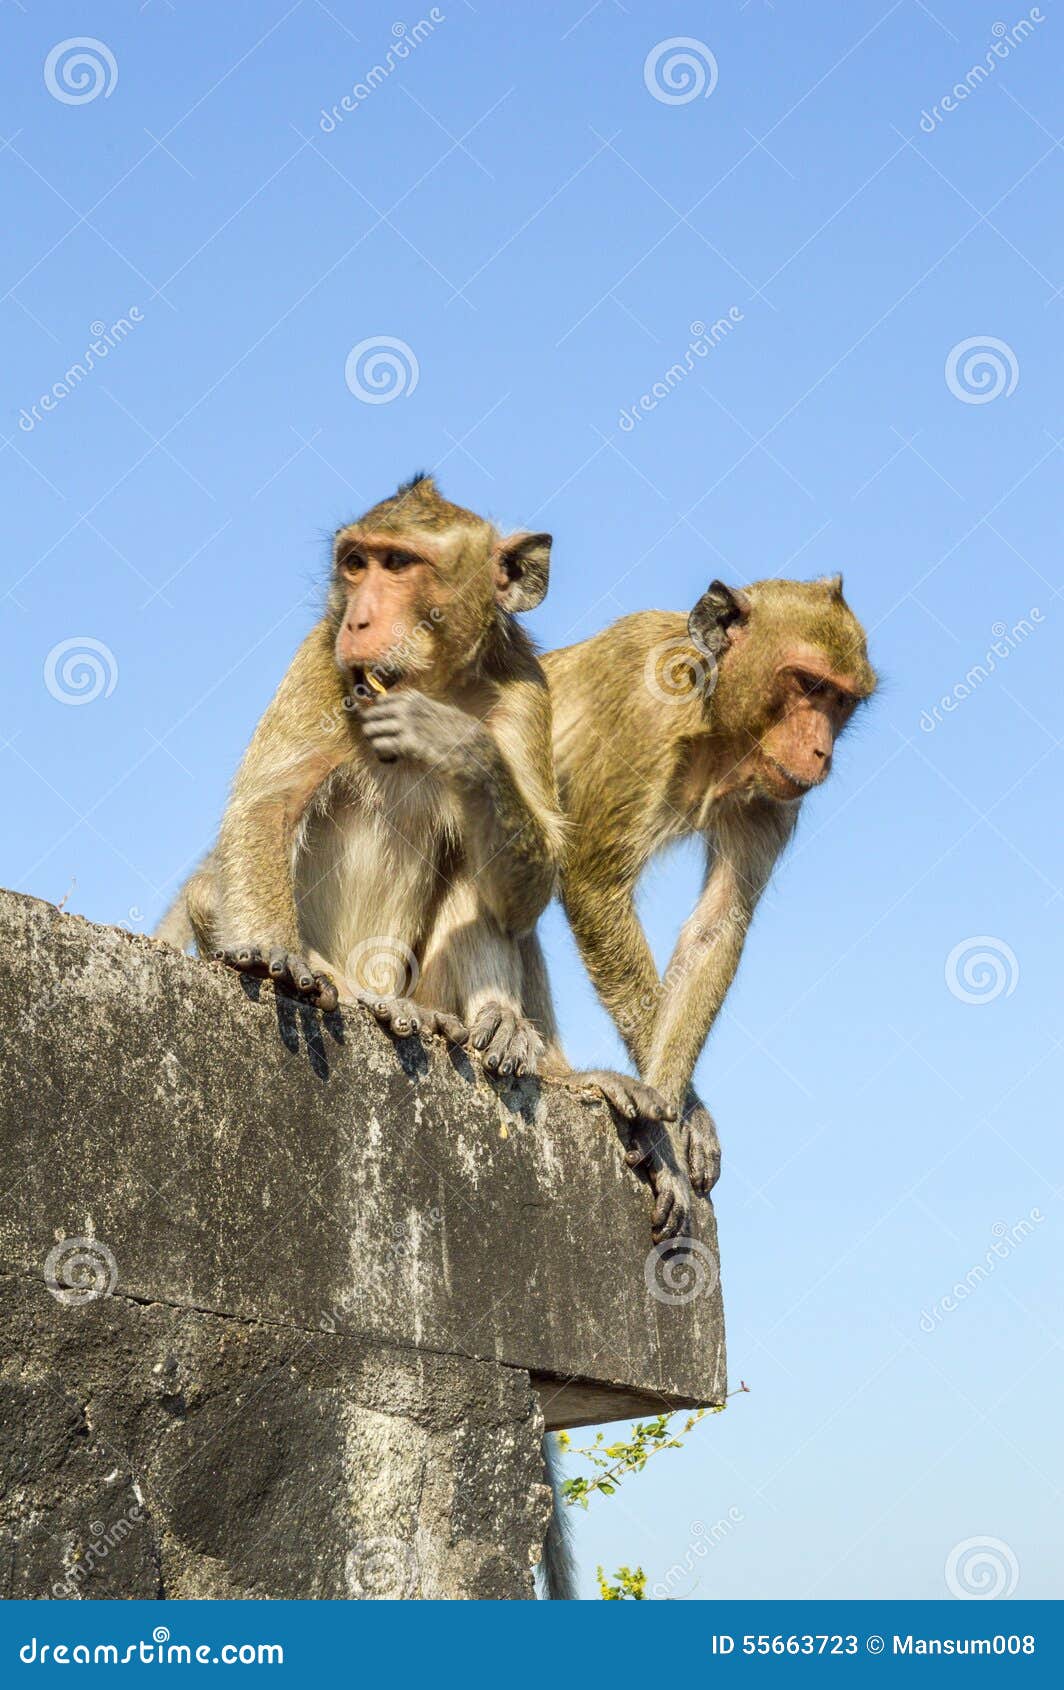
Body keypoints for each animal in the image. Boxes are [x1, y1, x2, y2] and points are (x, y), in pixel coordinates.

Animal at [155, 474, 690, 1244]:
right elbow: (266, 806)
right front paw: (277, 956)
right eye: (356, 564)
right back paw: (349, 987)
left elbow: (523, 890)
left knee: (479, 869)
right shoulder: (321, 660)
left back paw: (508, 1031)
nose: (358, 621)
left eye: (399, 565)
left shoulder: (526, 688)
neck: (430, 682)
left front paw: (462, 744)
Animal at [544, 574, 877, 1201]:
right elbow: (595, 883)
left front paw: (681, 1109)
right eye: (807, 684)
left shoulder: (771, 795)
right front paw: (661, 1138)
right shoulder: (645, 716)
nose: (821, 751)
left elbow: (716, 925)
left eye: (841, 700)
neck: (711, 715)